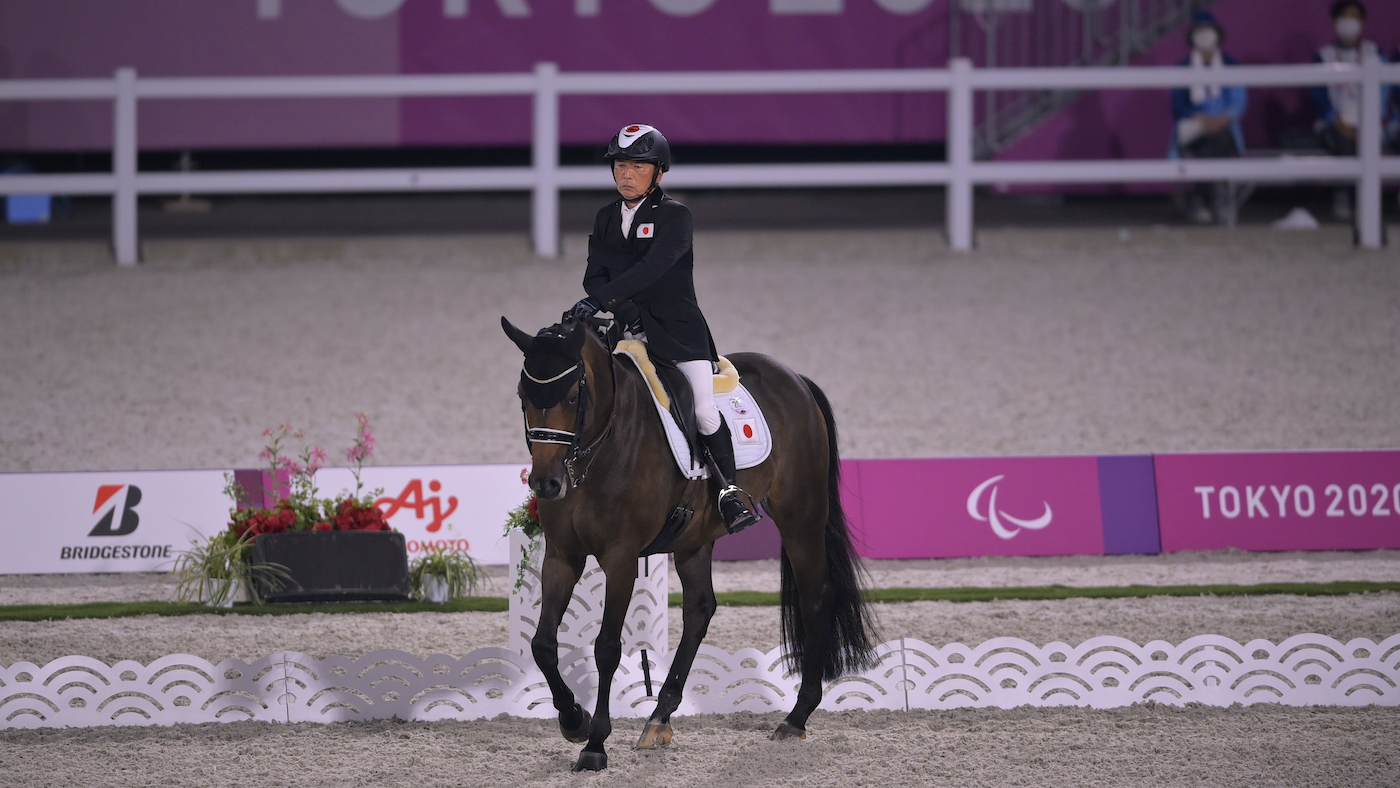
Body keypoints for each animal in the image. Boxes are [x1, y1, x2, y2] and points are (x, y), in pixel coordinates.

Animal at [501, 315, 877, 772]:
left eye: (573, 396)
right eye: (523, 396)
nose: (546, 484)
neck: (601, 448)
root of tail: (795, 379)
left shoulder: (621, 558)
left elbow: (607, 648)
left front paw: (595, 744)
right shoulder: (562, 556)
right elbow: (542, 644)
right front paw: (574, 720)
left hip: (800, 515)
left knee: (815, 597)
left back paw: (796, 717)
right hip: (696, 537)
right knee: (700, 608)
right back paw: (659, 717)